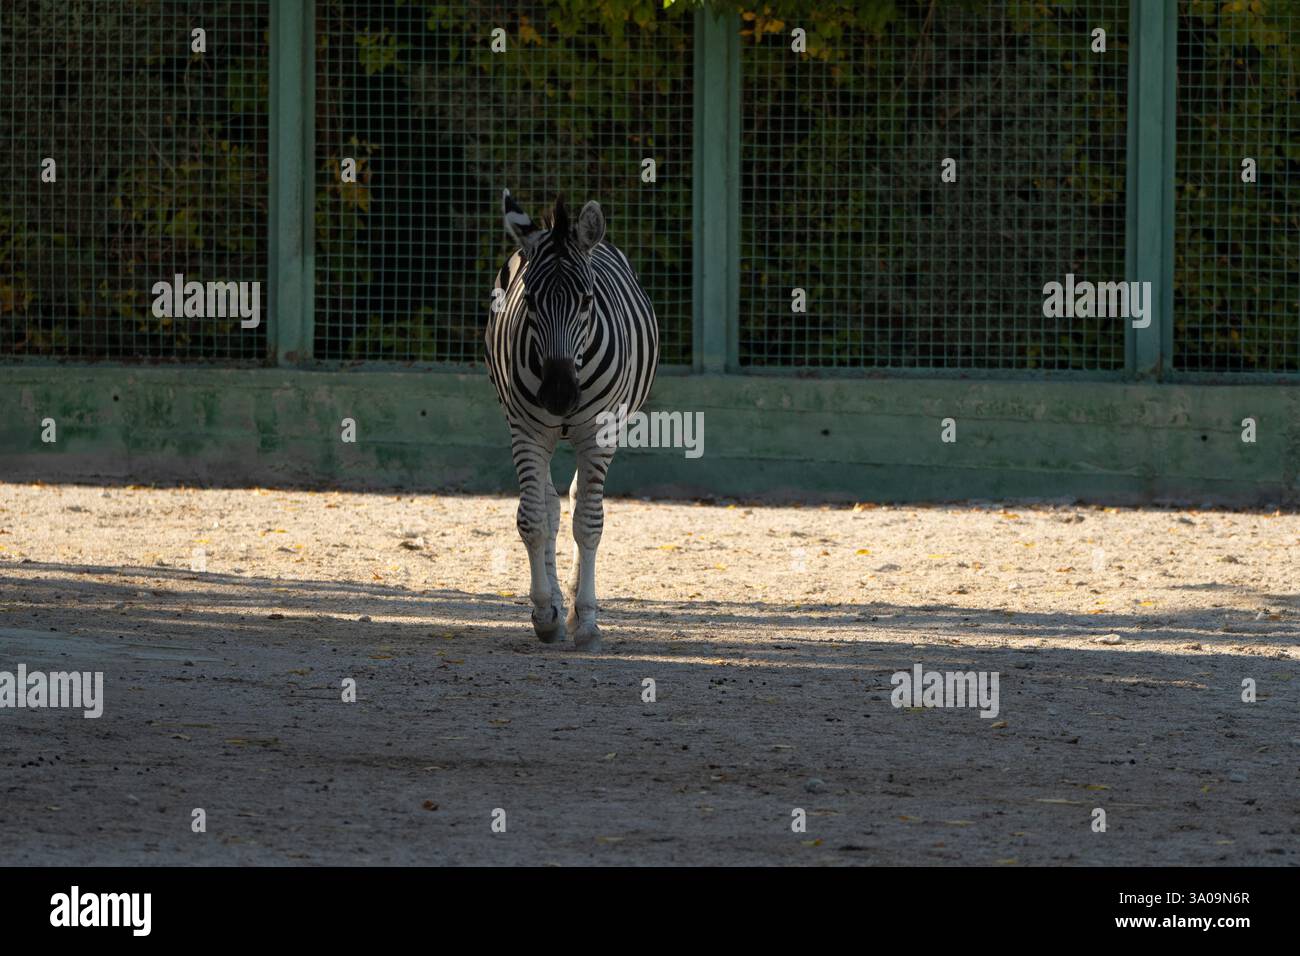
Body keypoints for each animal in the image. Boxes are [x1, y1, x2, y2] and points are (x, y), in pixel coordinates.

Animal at [485, 190, 659, 650]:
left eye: (585, 300)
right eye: (529, 301)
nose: (559, 395)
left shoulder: (600, 434)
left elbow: (589, 523)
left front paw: (587, 621)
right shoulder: (526, 431)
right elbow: (533, 519)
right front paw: (546, 614)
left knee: (581, 499)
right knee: (548, 504)